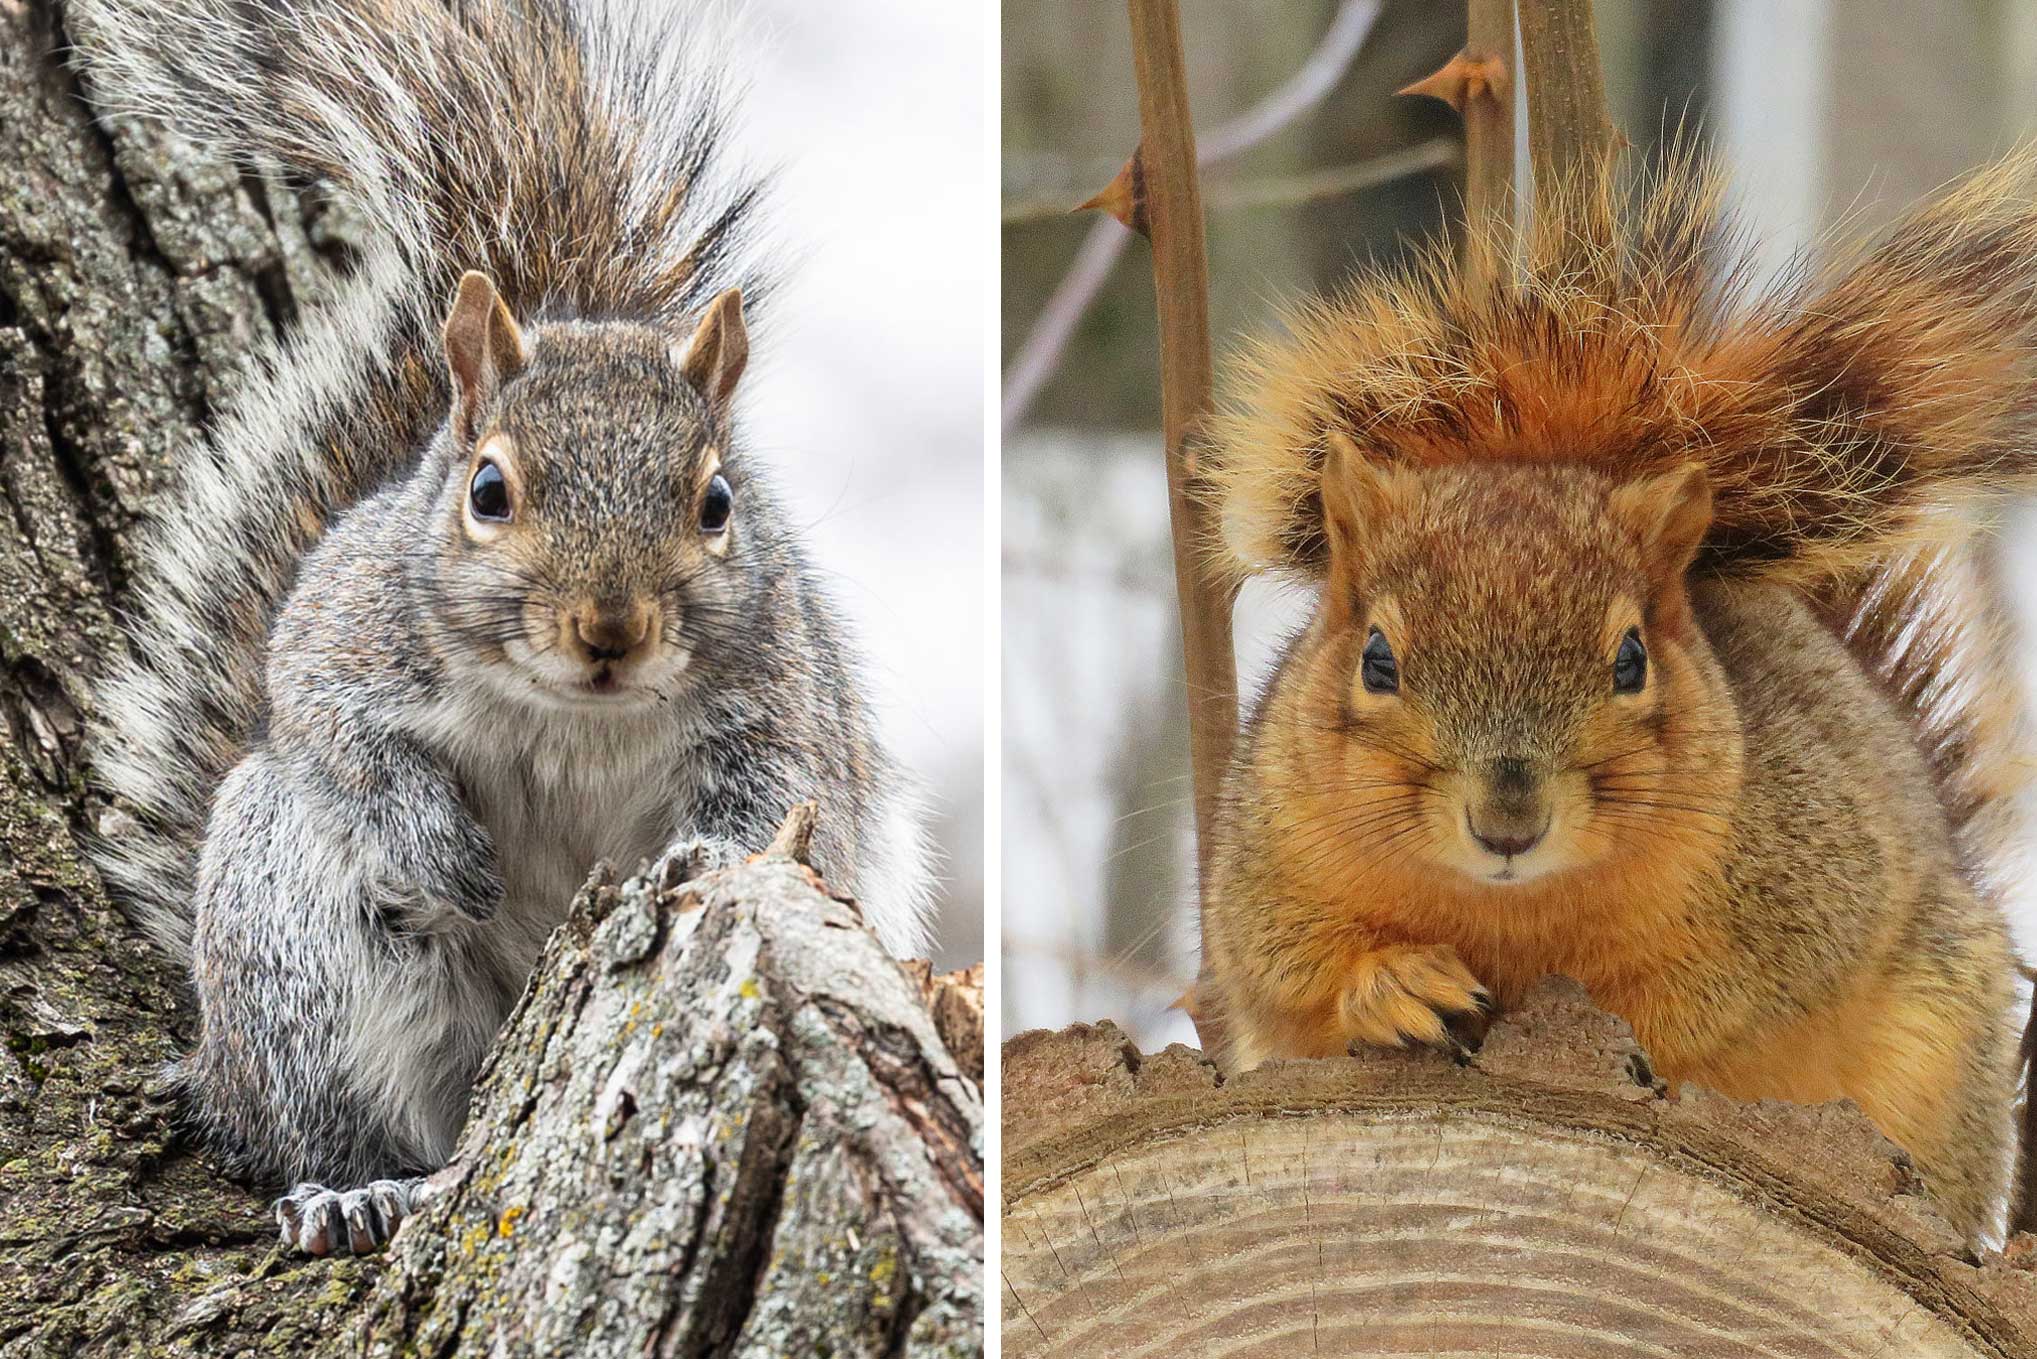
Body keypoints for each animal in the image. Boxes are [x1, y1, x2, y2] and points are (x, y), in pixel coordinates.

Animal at [71, 0, 934, 1255]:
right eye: (488, 490)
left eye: (718, 503)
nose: (610, 629)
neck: (572, 714)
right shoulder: (338, 640)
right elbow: (347, 745)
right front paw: (444, 849)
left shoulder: (784, 709)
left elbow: (775, 811)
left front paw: (702, 857)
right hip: (293, 944)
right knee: (326, 1119)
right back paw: (352, 1192)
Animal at [1195, 150, 2037, 1246]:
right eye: (1375, 659)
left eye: (1632, 658)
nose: (1507, 820)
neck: (1515, 915)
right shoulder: (1265, 861)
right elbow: (1283, 967)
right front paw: (1396, 984)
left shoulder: (1813, 874)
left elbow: (1730, 1003)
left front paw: (1619, 1036)